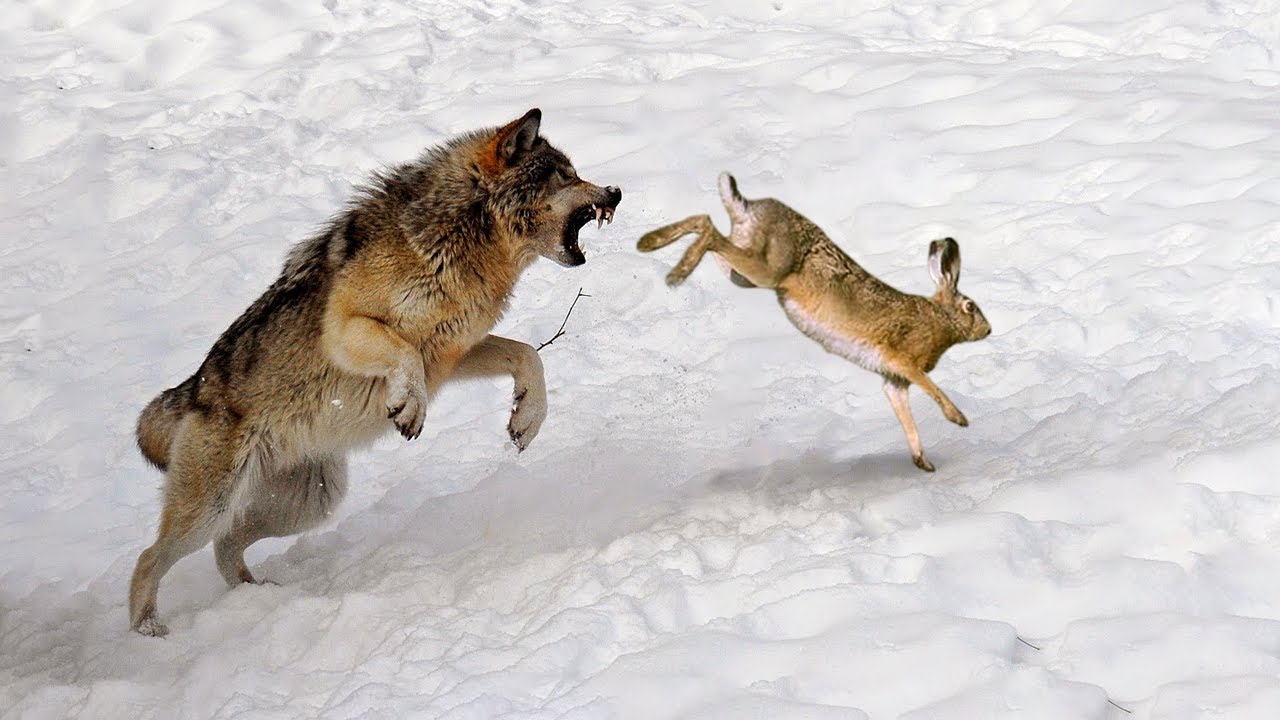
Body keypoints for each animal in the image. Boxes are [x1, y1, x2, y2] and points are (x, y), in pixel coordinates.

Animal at [129, 109, 622, 636]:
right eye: (566, 176)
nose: (615, 192)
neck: (464, 239)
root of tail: (192, 391)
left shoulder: (452, 353)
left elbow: (529, 354)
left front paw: (526, 420)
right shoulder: (347, 329)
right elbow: (404, 354)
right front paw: (409, 408)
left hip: (311, 503)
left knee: (226, 546)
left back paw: (255, 595)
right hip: (211, 509)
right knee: (149, 558)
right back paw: (149, 633)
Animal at [637, 173, 988, 472]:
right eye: (970, 307)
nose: (988, 330)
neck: (940, 318)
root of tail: (750, 206)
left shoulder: (894, 382)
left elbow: (906, 417)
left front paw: (923, 463)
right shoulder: (903, 361)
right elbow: (933, 388)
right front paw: (959, 419)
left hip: (744, 272)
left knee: (706, 225)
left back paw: (650, 244)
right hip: (766, 269)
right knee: (710, 231)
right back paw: (674, 271)